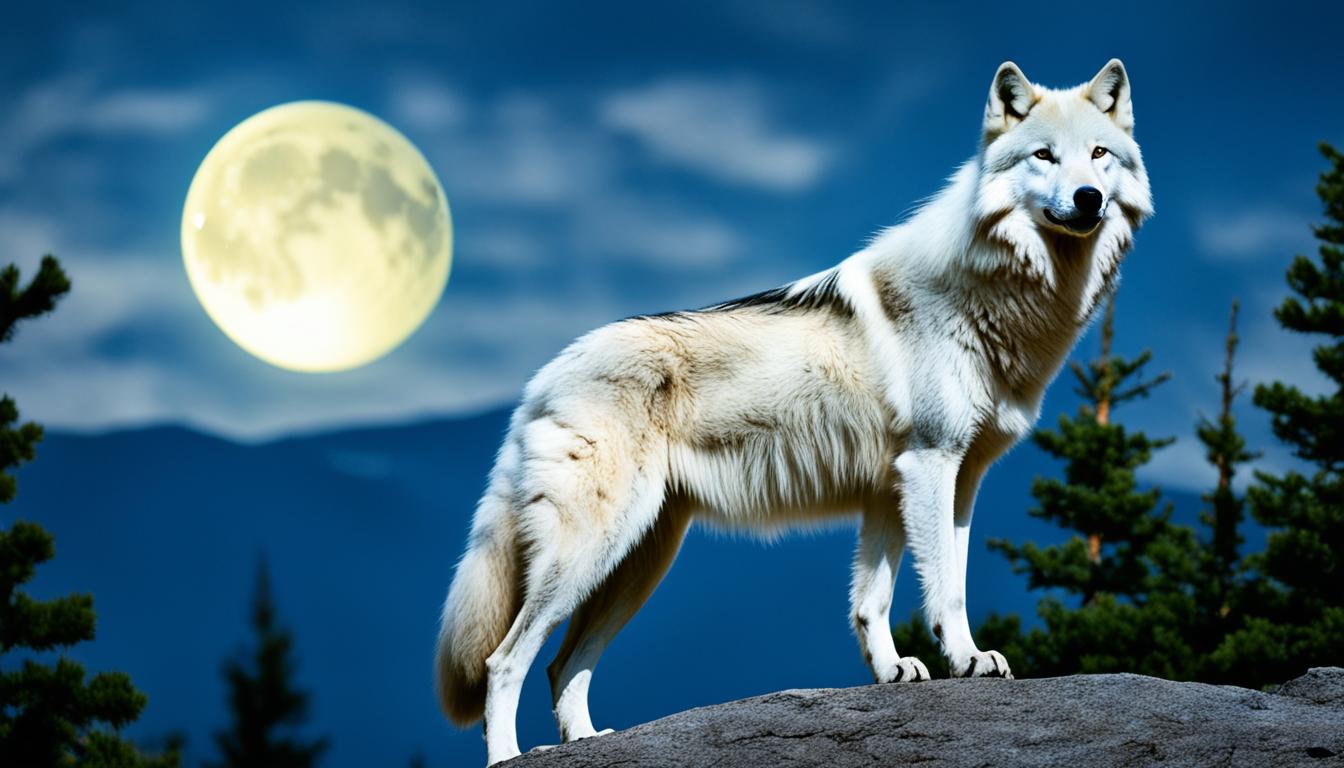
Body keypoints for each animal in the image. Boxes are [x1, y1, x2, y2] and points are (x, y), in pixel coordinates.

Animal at [436, 59, 1152, 765]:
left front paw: (894, 672)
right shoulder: (931, 465)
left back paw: (586, 741)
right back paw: (509, 756)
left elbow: (873, 599)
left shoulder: (919, 483)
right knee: (505, 661)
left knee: (563, 667)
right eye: (1043, 155)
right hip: (590, 553)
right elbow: (947, 587)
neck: (1005, 295)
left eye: (1098, 155)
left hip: (637, 563)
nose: (1087, 198)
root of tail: (539, 381)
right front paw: (969, 660)